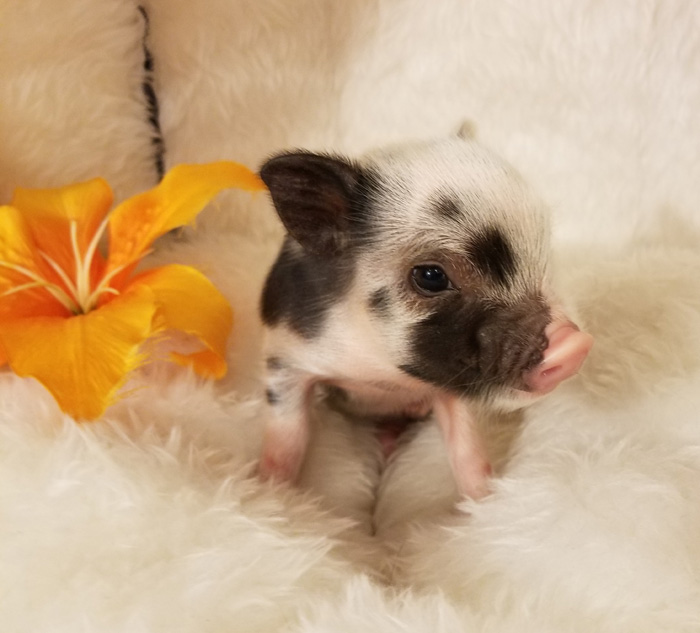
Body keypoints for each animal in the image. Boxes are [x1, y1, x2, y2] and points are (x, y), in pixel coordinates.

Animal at [257, 134, 593, 499]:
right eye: (431, 276)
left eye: (544, 254)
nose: (575, 344)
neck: (378, 372)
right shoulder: (284, 358)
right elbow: (286, 438)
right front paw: (272, 493)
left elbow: (467, 449)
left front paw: (483, 501)